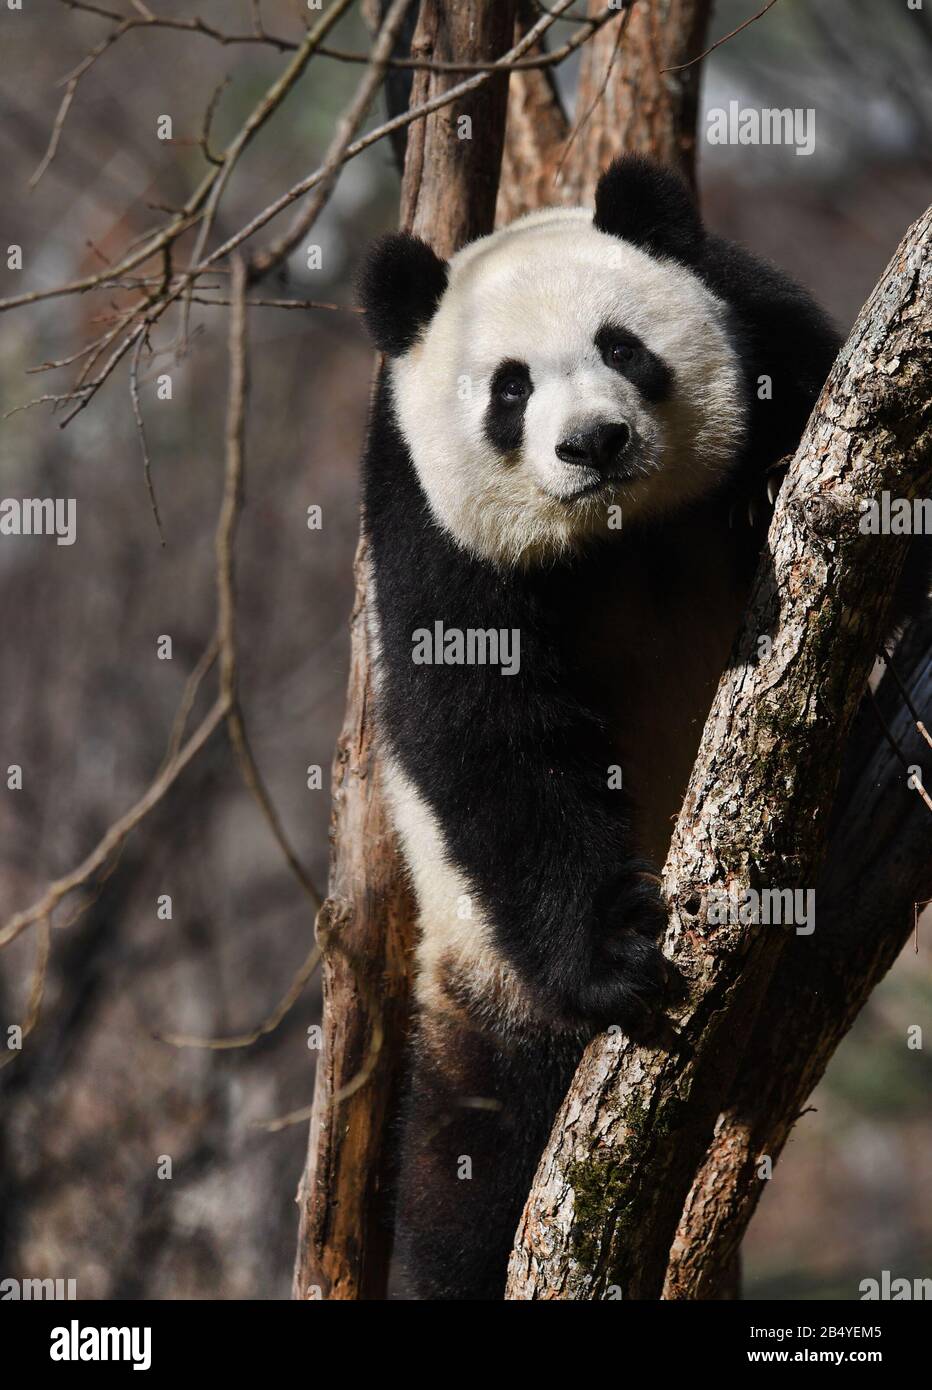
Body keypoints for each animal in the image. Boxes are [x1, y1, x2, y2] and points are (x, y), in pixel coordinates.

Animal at [354, 156, 900, 1300]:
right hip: (481, 966)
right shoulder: (428, 530)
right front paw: (616, 947)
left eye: (622, 347)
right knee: (476, 1151)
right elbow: (488, 736)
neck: (620, 536)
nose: (593, 443)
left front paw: (768, 493)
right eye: (509, 389)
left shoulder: (770, 331)